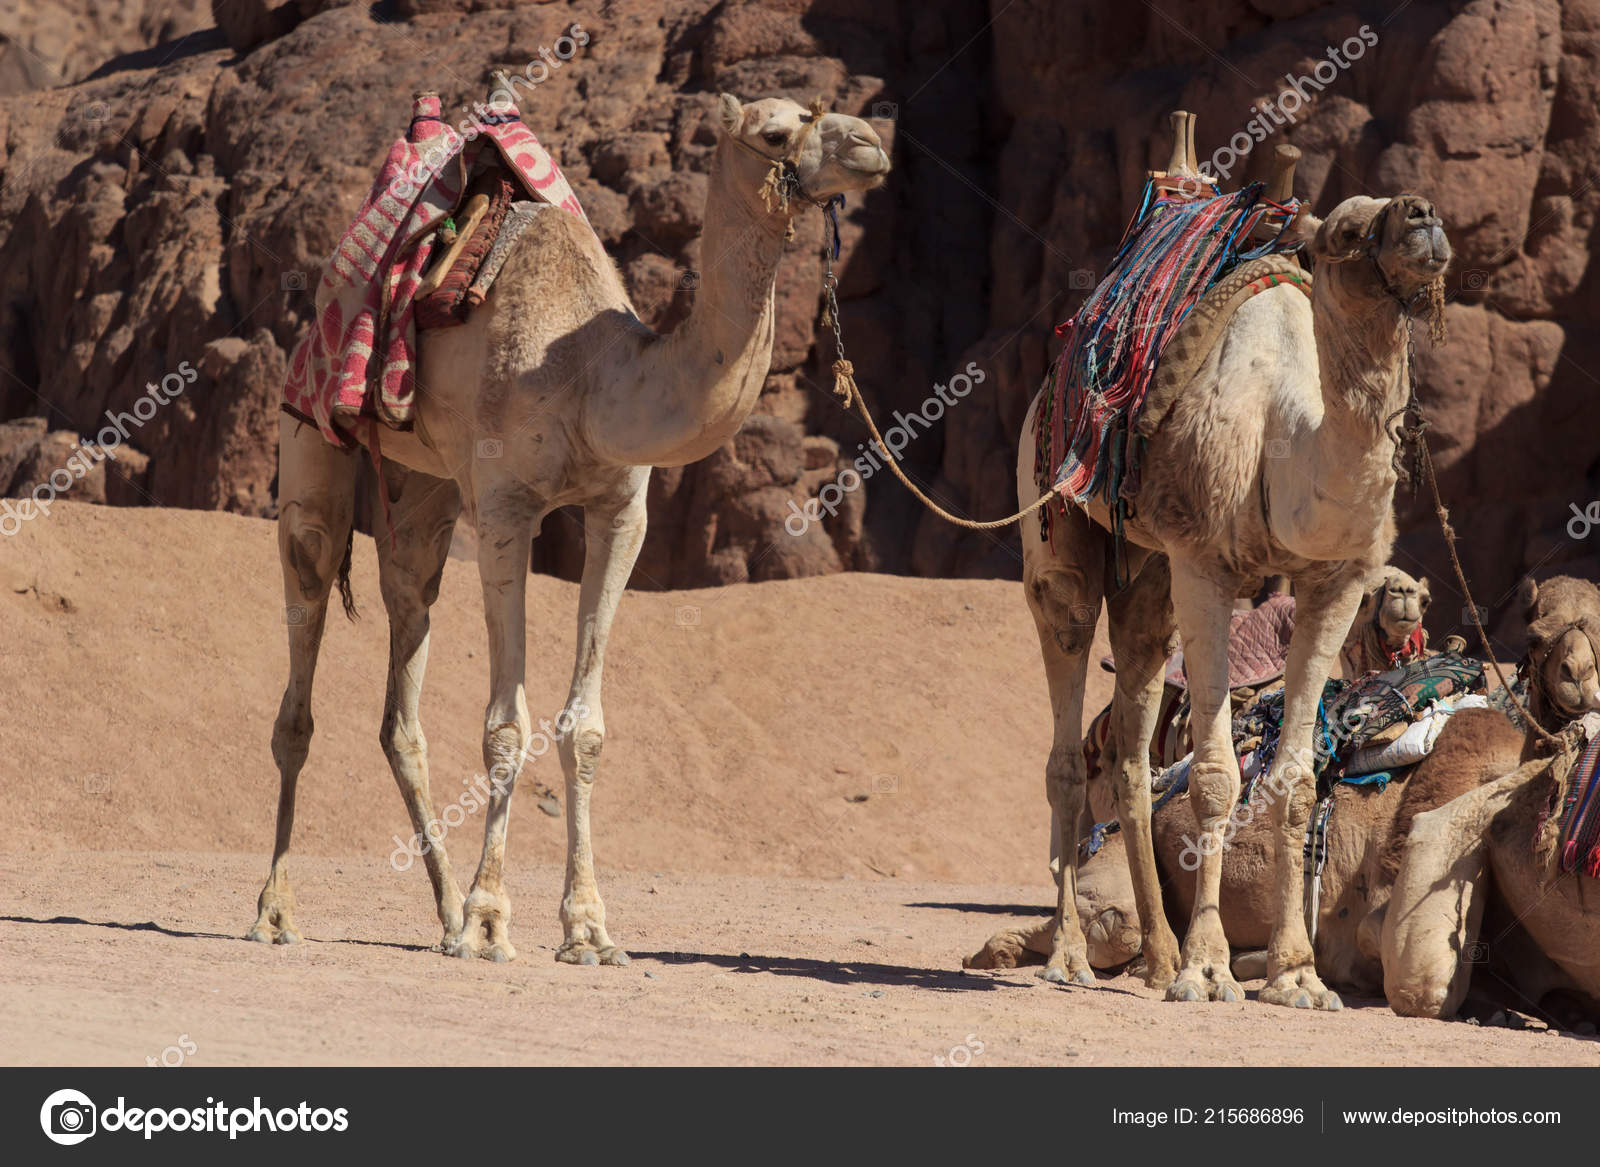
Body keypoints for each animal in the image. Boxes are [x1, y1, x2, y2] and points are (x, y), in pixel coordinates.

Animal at [248, 94, 889, 962]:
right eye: (775, 130)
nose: (871, 144)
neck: (592, 377)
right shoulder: (506, 507)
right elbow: (505, 725)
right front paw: (490, 919)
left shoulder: (621, 510)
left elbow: (583, 727)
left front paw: (586, 927)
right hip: (310, 440)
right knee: (301, 664)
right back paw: (276, 911)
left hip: (424, 492)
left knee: (403, 672)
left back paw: (440, 913)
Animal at [990, 185, 1451, 1010]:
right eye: (1344, 232)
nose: (1421, 214)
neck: (1285, 433)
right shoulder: (1204, 561)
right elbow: (1214, 778)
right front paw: (1209, 970)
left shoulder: (1333, 581)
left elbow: (1294, 781)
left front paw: (1296, 975)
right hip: (1053, 516)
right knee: (1066, 738)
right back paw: (1072, 957)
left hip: (1146, 574)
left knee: (1133, 742)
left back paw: (1156, 957)